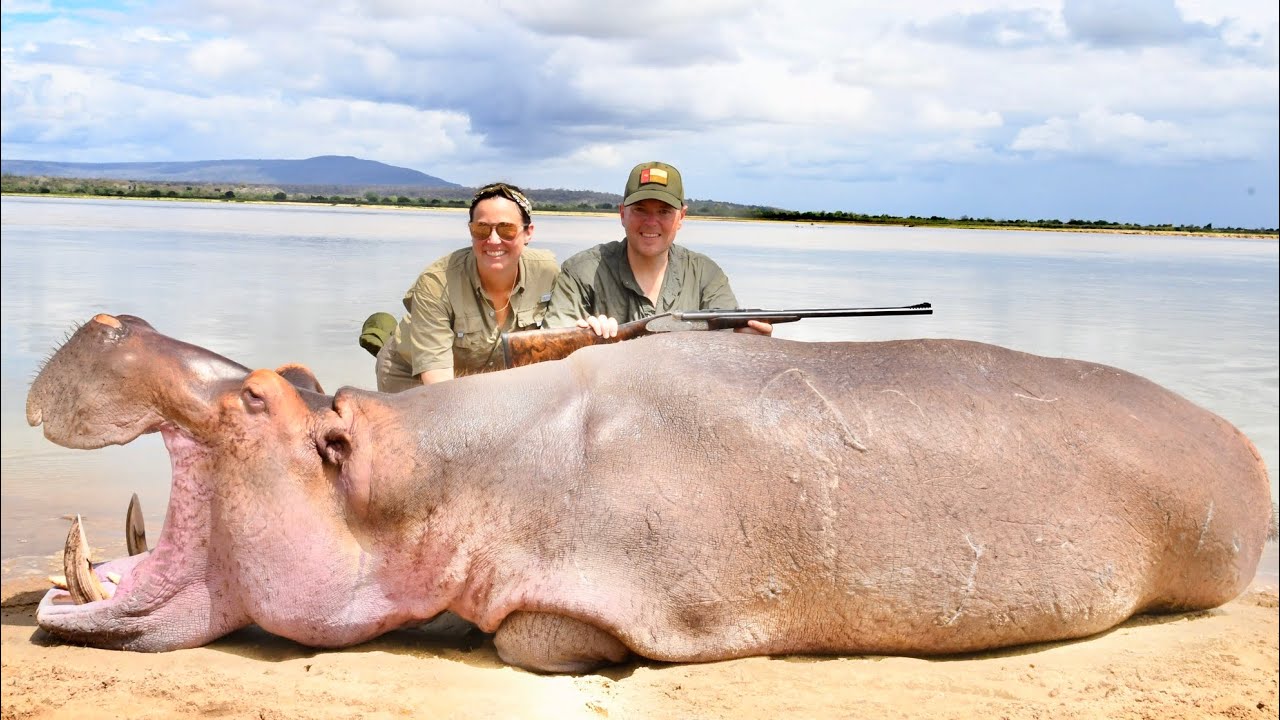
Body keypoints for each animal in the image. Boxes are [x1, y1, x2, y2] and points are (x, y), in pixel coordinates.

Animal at [27, 313, 1271, 673]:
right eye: (285, 377)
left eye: (255, 403)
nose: (112, 319)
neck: (411, 471)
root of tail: (1238, 440)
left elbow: (533, 639)